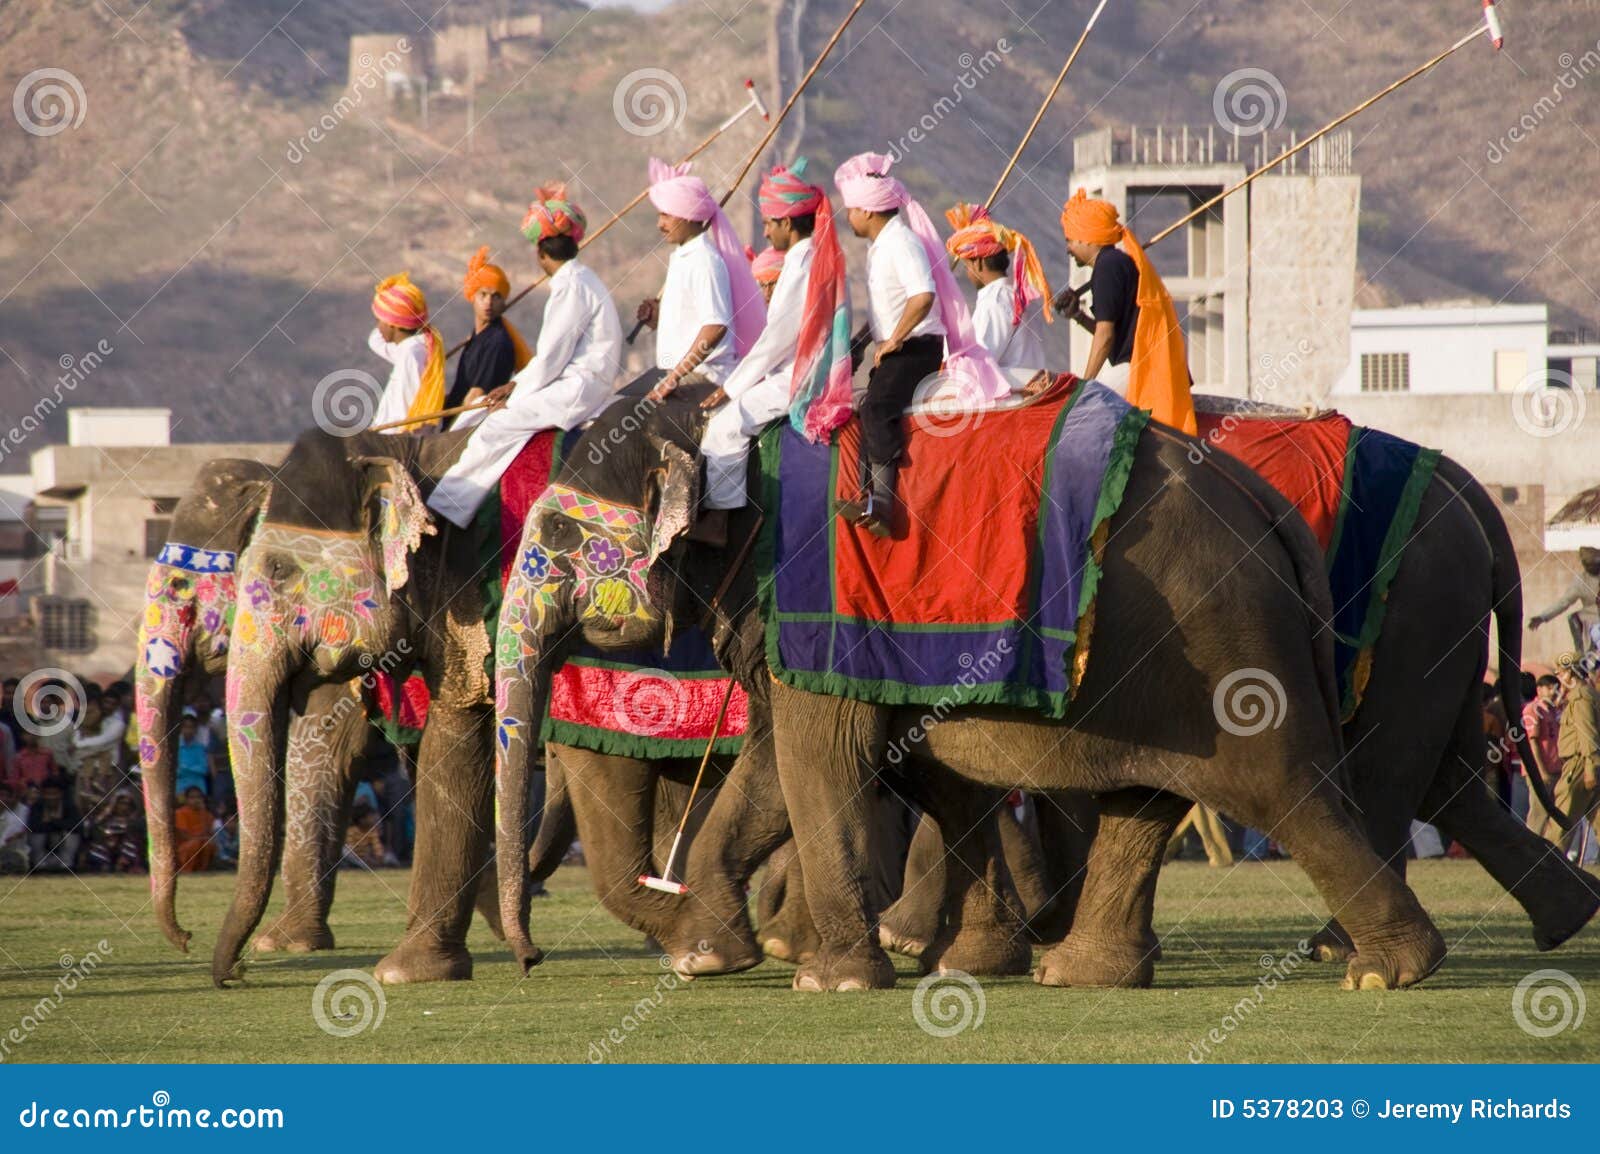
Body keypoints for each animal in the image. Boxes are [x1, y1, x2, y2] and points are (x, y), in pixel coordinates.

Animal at [492, 380, 1449, 993]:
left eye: (562, 538)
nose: (530, 961)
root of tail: (1266, 507)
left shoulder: (809, 594)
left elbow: (817, 753)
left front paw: (829, 983)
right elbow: (810, 759)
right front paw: (710, 958)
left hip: (1231, 645)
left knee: (1286, 791)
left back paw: (1386, 972)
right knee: (1147, 803)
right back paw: (1081, 975)